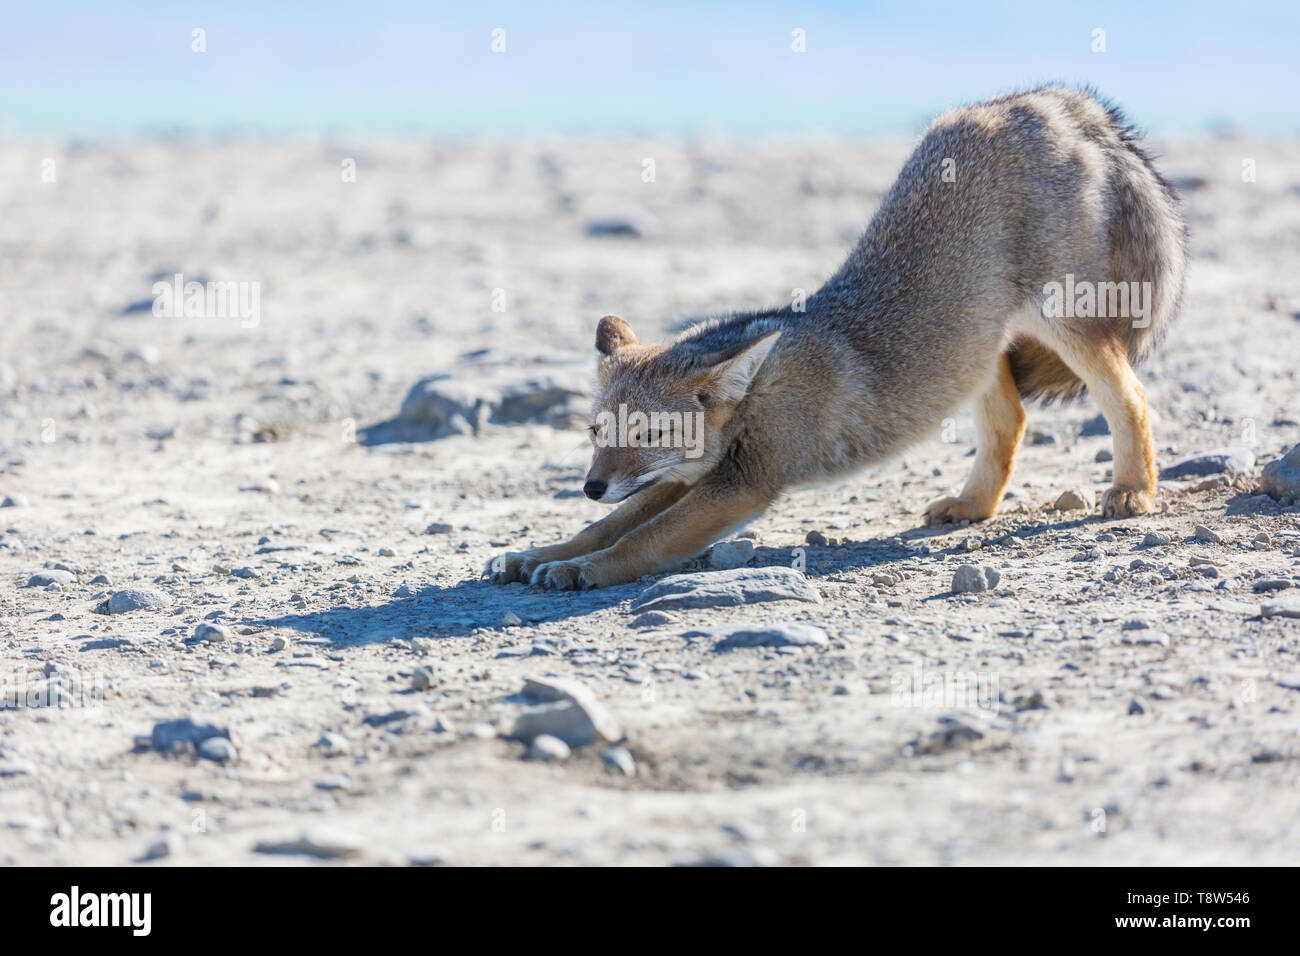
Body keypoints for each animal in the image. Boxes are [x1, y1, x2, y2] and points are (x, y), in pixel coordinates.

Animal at [486, 85, 1187, 590]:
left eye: (652, 433)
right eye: (596, 432)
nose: (589, 485)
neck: (758, 394)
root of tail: (1049, 97)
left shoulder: (741, 484)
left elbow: (638, 540)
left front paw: (581, 571)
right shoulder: (693, 476)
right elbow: (607, 524)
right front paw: (545, 551)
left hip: (1064, 325)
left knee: (1131, 395)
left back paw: (1133, 492)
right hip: (975, 345)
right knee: (1010, 422)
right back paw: (971, 505)